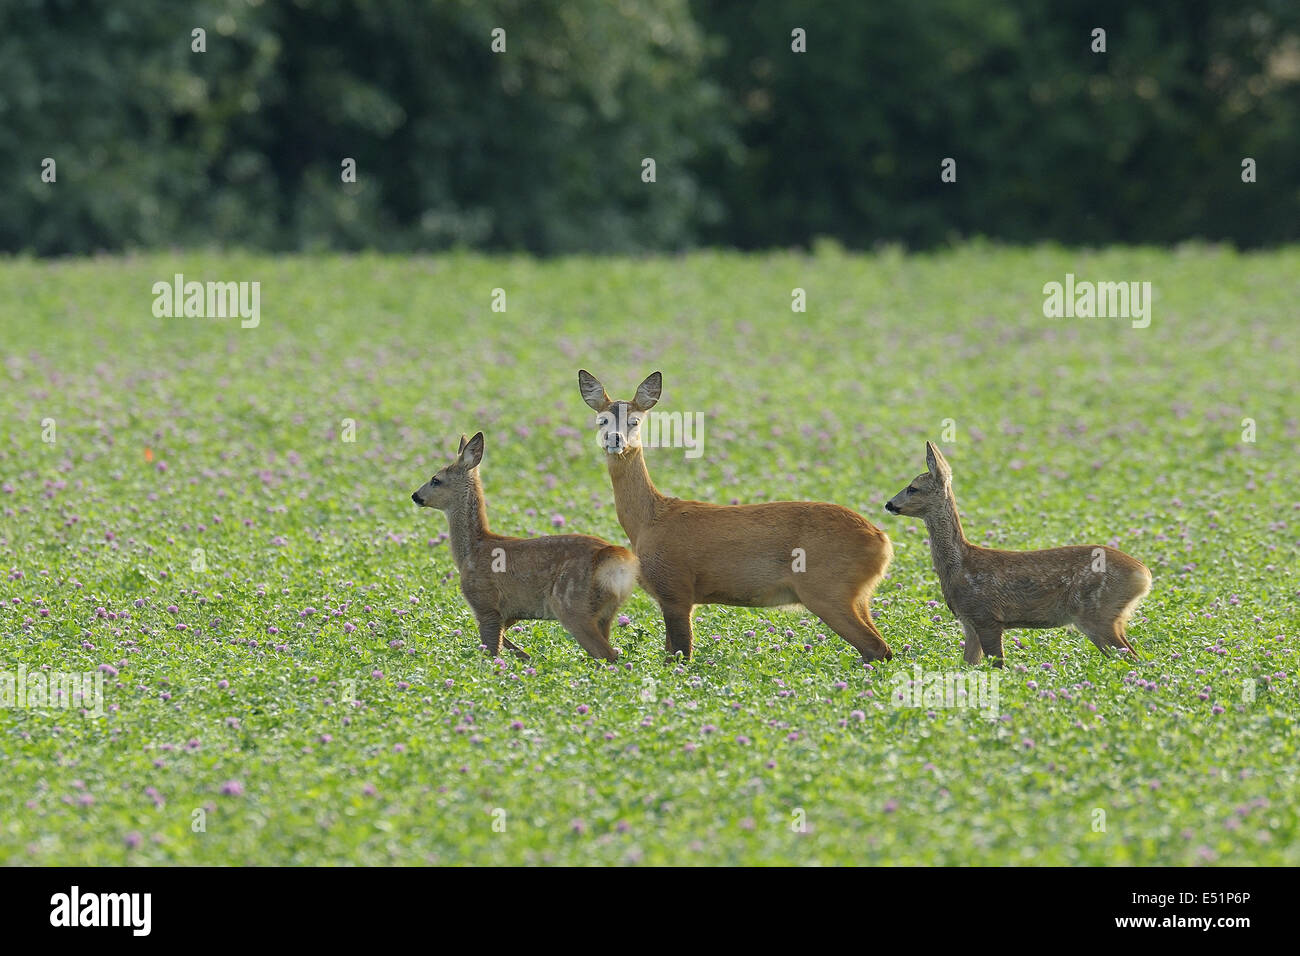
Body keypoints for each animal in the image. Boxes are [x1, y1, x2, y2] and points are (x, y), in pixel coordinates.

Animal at [410, 432, 638, 662]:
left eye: (436, 479)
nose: (415, 496)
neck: (471, 549)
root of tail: (616, 558)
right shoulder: (511, 611)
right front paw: (528, 657)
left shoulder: (486, 603)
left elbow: (491, 650)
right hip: (606, 612)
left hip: (572, 604)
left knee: (608, 655)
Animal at [577, 370, 894, 663]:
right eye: (601, 420)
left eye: (635, 421)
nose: (614, 439)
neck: (648, 522)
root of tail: (882, 541)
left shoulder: (675, 589)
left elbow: (680, 655)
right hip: (858, 596)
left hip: (828, 589)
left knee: (877, 648)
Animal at [884, 441, 1152, 666]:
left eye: (913, 488)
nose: (888, 504)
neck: (959, 565)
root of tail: (1144, 574)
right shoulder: (969, 623)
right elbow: (968, 665)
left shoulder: (987, 616)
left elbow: (997, 665)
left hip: (1098, 613)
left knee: (1132, 658)